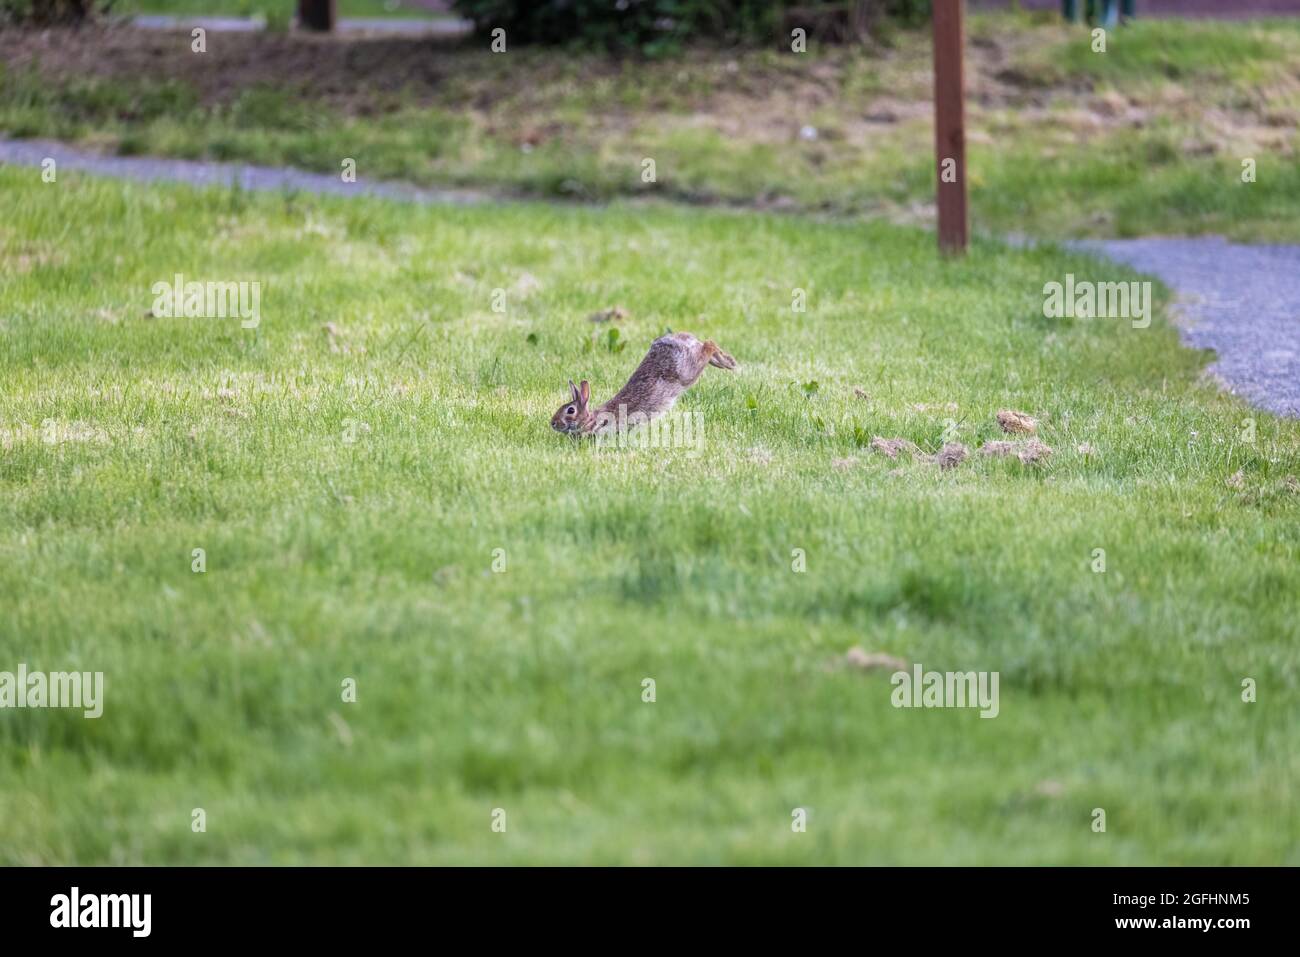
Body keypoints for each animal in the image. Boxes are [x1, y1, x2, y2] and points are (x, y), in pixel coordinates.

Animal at [552, 332, 737, 435]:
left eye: (570, 410)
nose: (552, 423)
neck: (590, 419)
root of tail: (680, 339)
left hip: (688, 371)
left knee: (708, 344)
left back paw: (728, 362)